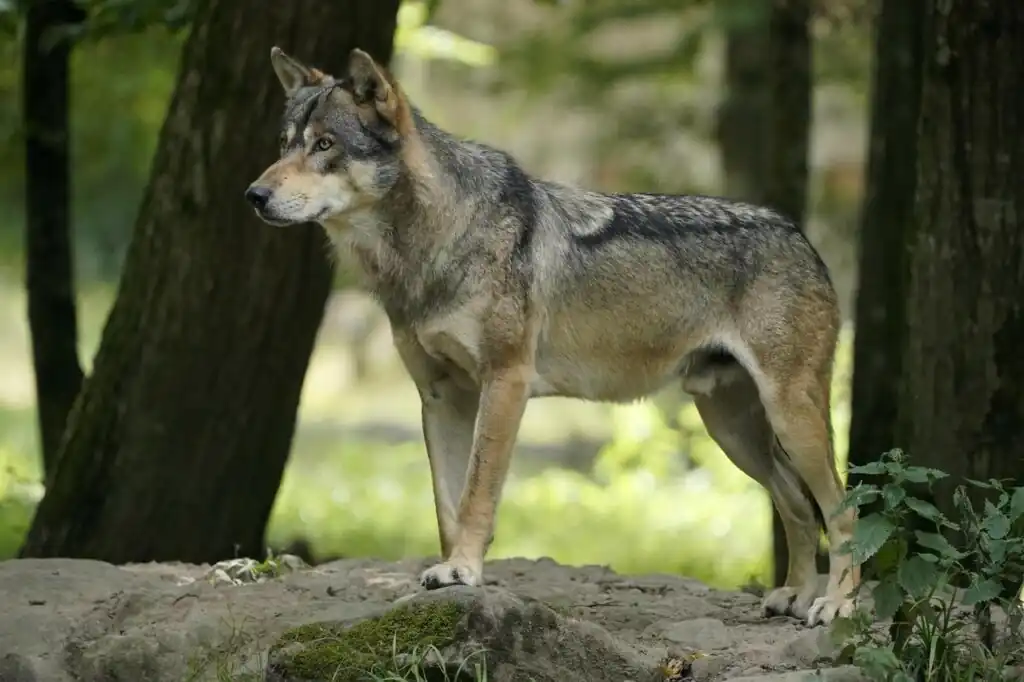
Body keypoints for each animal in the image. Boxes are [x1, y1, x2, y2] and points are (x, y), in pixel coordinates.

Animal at [245, 46, 860, 627]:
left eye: (325, 145)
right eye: (285, 143)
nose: (253, 195)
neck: (432, 245)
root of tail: (800, 235)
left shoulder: (505, 384)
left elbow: (476, 494)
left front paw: (463, 572)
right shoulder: (441, 396)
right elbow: (446, 505)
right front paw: (448, 574)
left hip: (787, 417)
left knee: (843, 505)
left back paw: (836, 605)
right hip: (734, 431)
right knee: (797, 505)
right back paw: (795, 595)